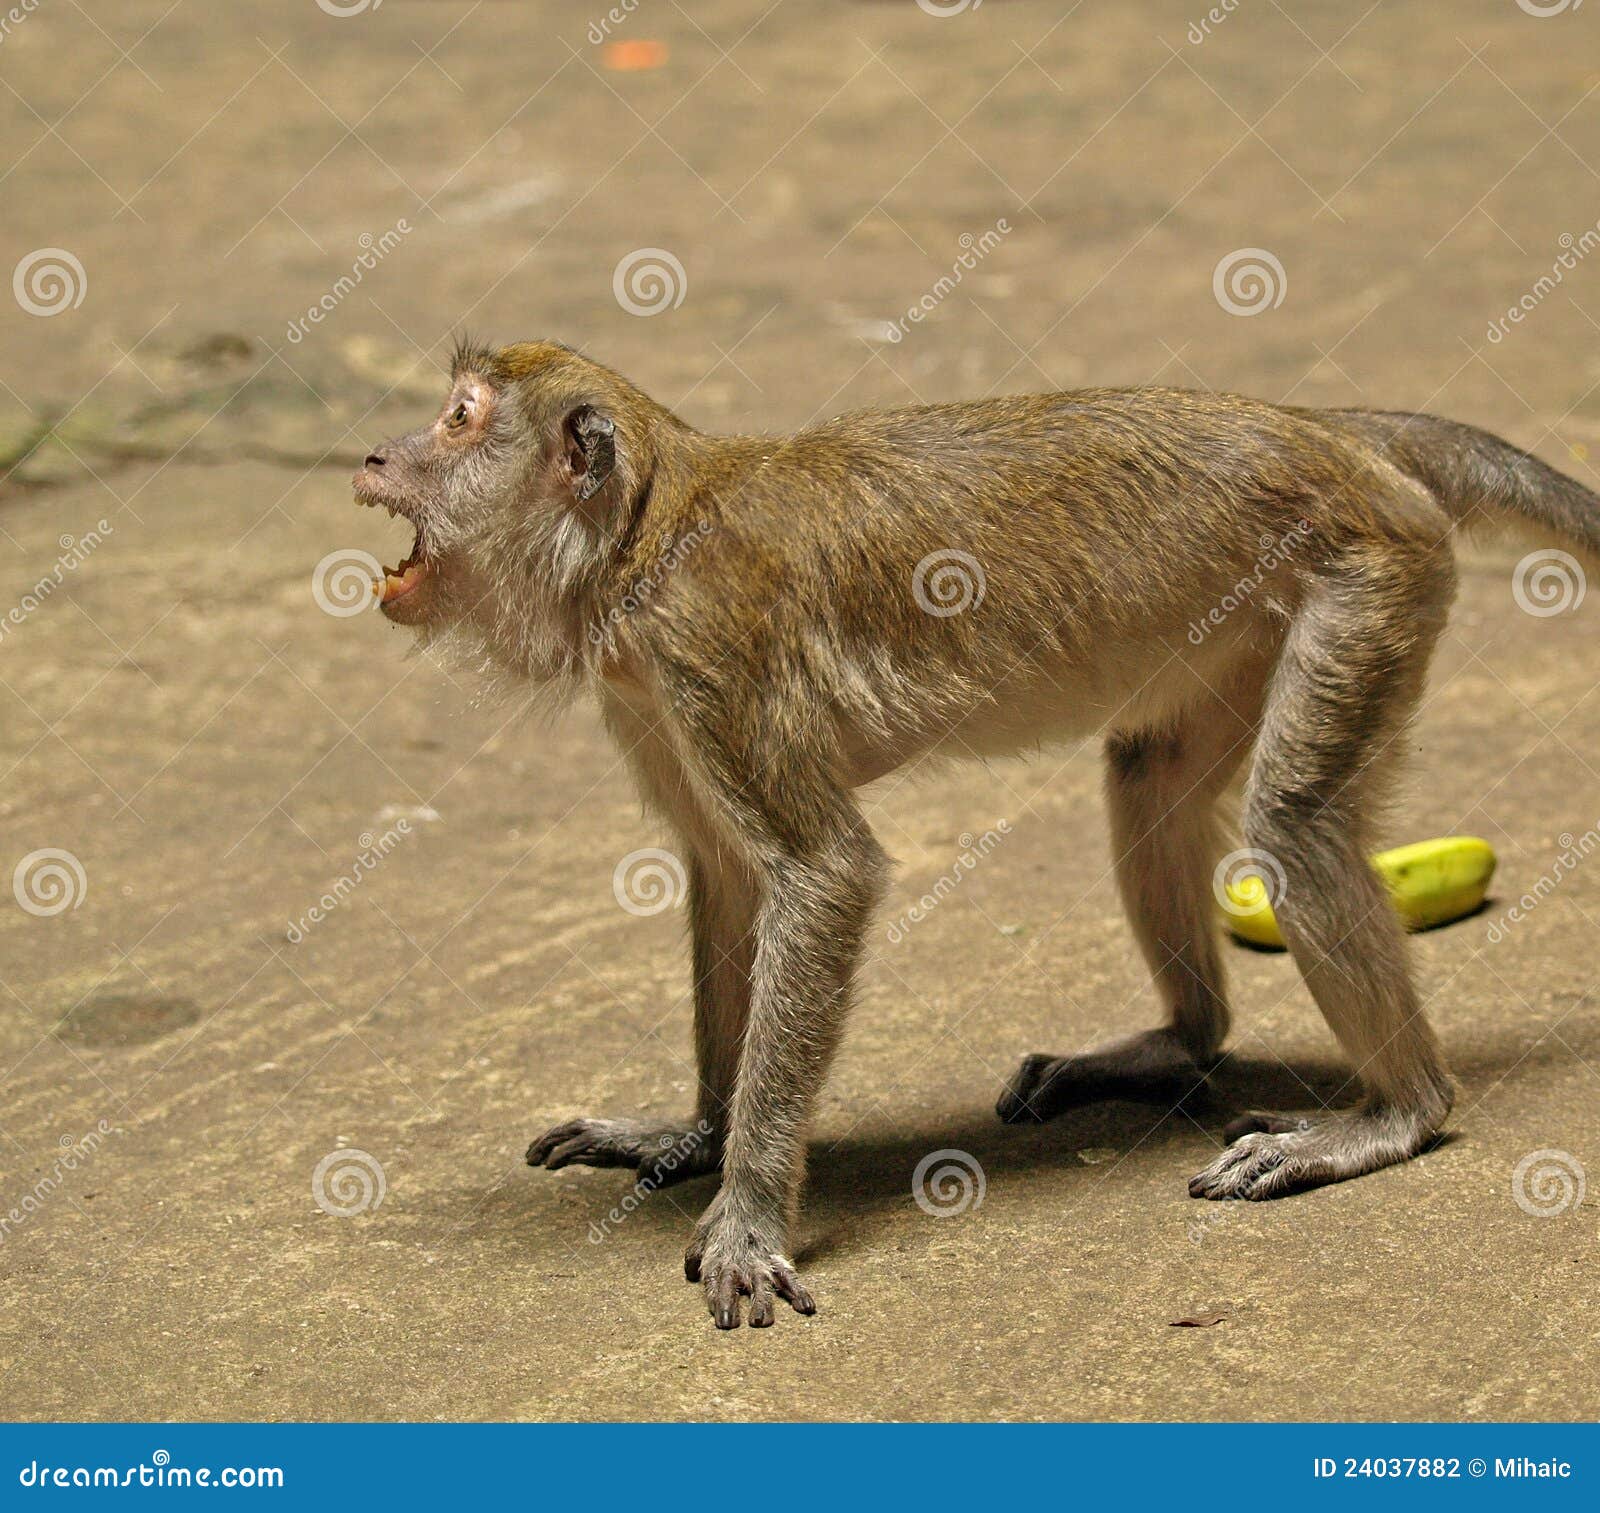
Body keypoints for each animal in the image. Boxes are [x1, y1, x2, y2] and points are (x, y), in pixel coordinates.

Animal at [350, 338, 1599, 1330]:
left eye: (459, 417)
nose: (373, 455)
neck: (648, 529)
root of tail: (1329, 429)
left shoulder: (704, 646)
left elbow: (822, 874)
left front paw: (748, 1212)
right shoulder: (650, 688)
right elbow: (728, 878)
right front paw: (695, 1131)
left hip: (1366, 569)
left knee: (1291, 825)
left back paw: (1398, 1112)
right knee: (1145, 776)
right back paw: (1179, 1038)